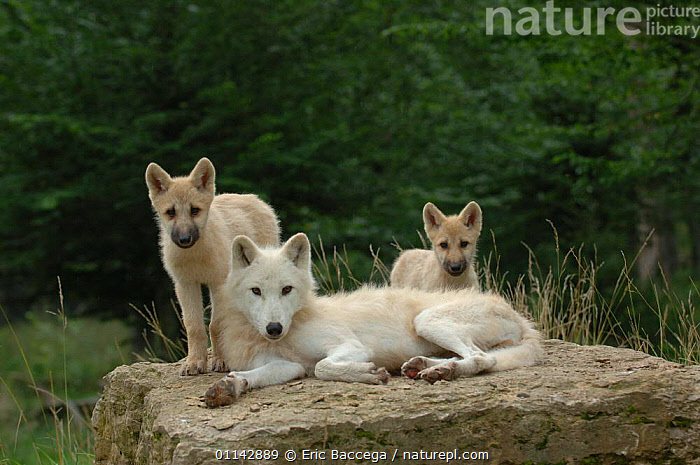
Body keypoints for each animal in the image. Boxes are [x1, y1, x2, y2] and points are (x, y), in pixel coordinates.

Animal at [145, 158, 280, 375]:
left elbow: (215, 325)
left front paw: (221, 361)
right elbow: (194, 327)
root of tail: (254, 198)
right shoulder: (186, 285)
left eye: (194, 210)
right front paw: (194, 362)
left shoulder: (218, 284)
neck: (195, 257)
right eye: (171, 212)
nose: (184, 239)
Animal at [203, 233, 541, 407]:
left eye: (286, 289)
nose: (274, 328)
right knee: (472, 357)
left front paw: (367, 374)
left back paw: (441, 371)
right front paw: (228, 387)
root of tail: (522, 319)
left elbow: (324, 367)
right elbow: (251, 376)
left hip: (427, 321)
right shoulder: (290, 366)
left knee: (483, 359)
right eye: (256, 291)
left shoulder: (351, 346)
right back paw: (426, 367)